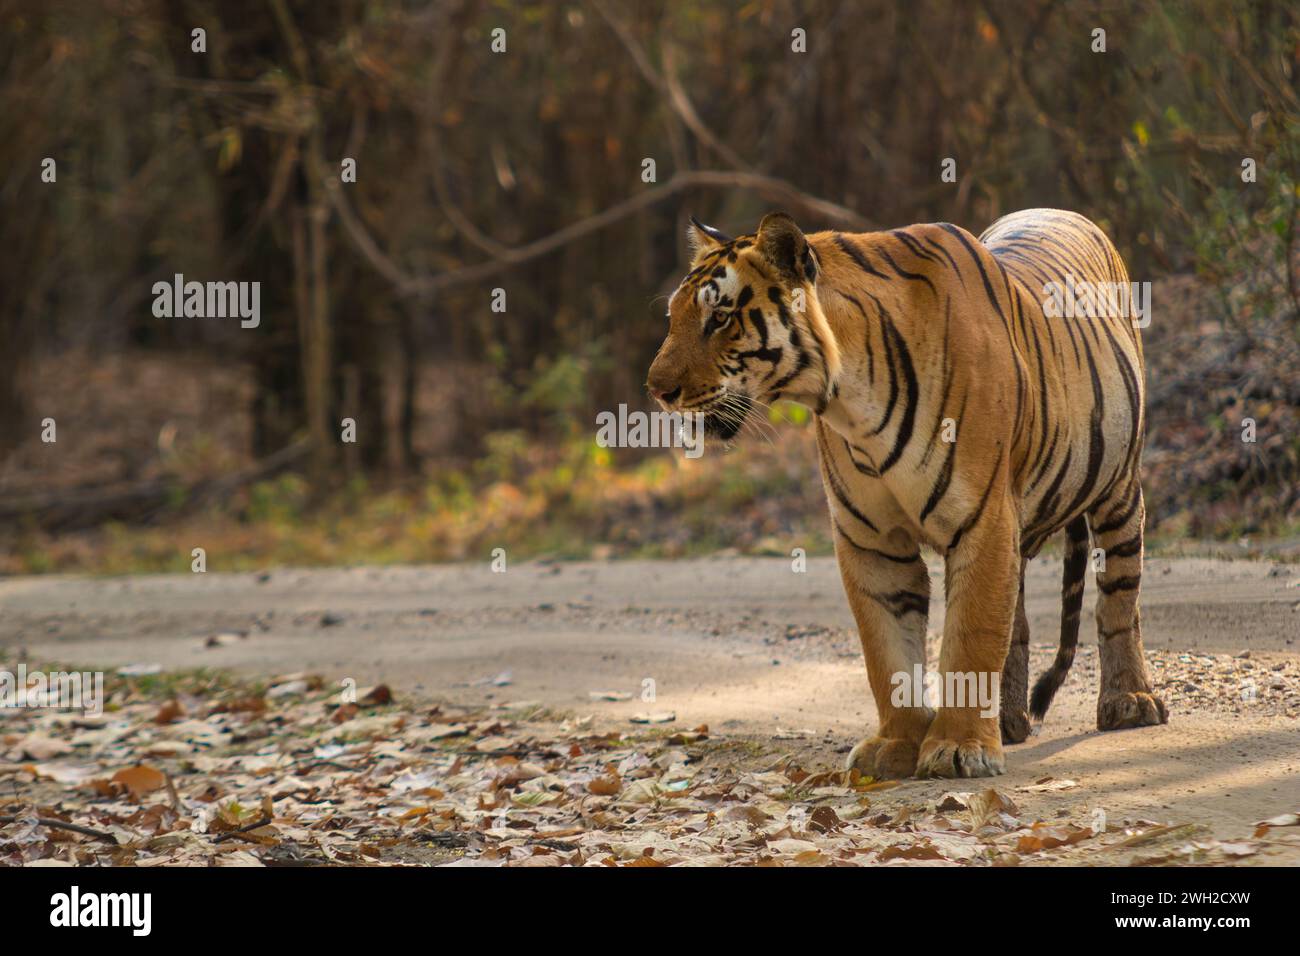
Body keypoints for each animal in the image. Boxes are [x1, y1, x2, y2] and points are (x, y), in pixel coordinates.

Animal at [646, 208, 1168, 779]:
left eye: (719, 318)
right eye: (674, 316)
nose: (657, 389)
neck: (849, 401)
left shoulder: (983, 520)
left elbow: (970, 637)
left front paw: (959, 748)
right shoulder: (871, 540)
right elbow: (887, 652)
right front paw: (896, 745)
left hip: (1119, 490)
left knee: (1119, 599)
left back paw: (1129, 702)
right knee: (1020, 622)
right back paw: (1009, 722)